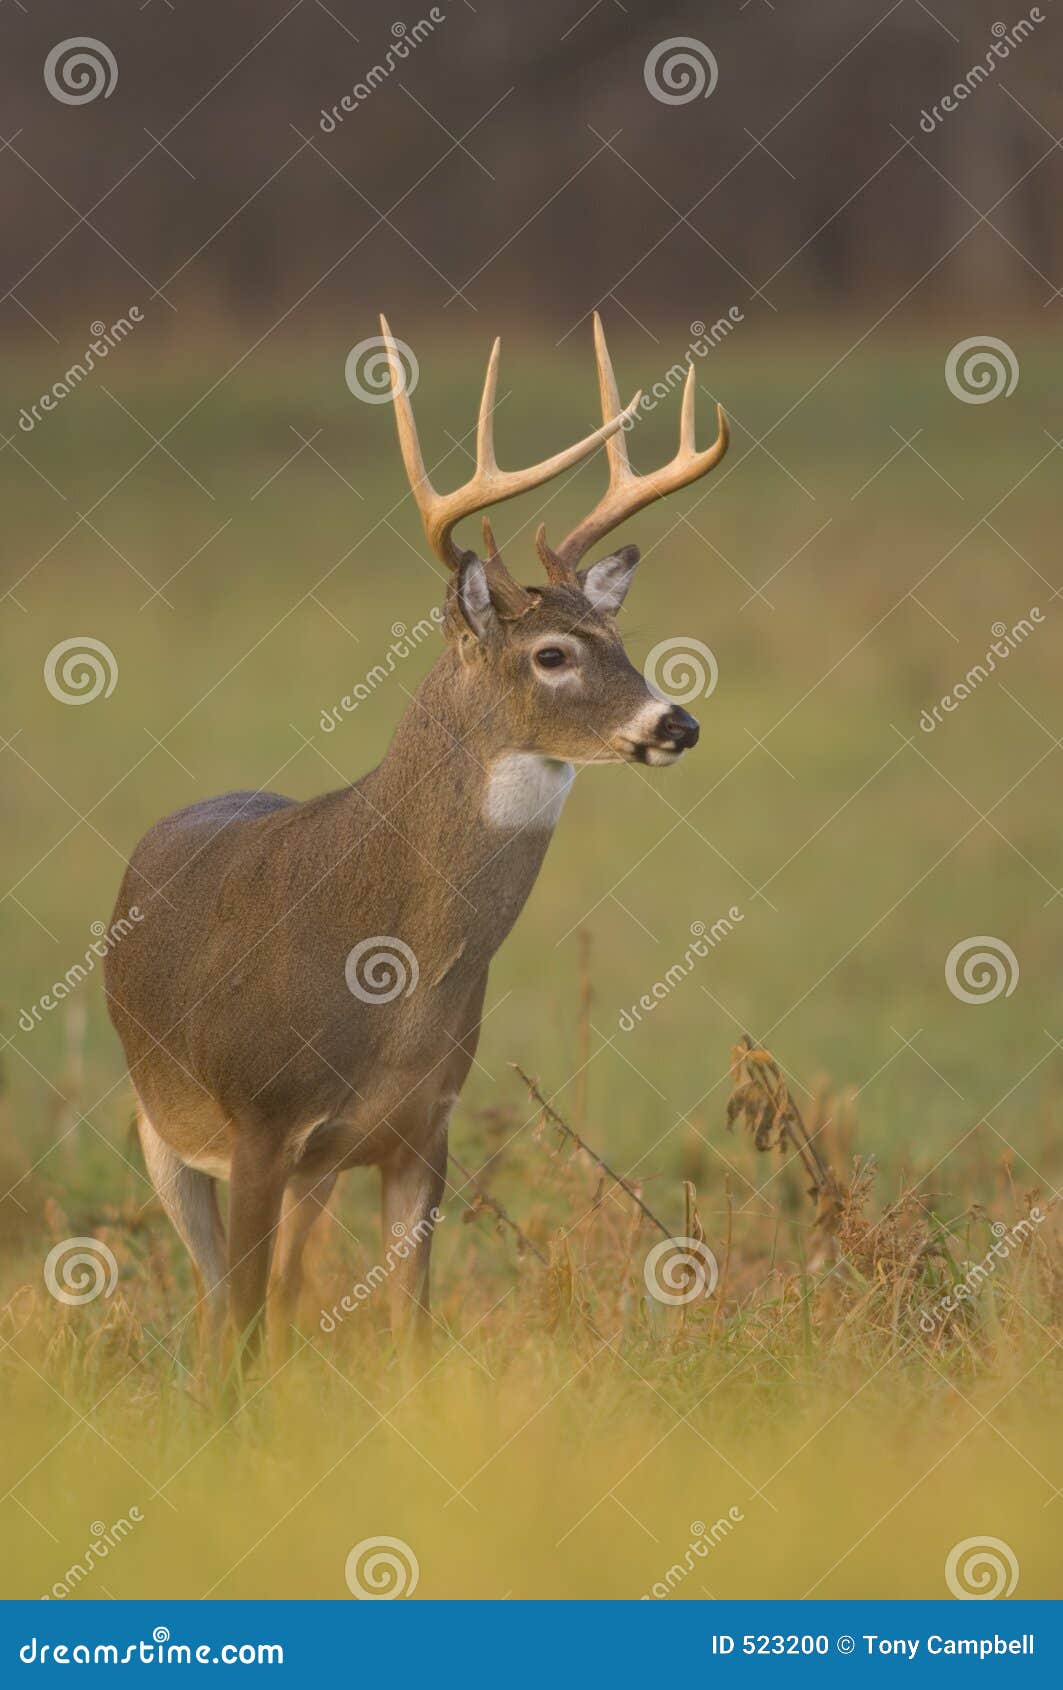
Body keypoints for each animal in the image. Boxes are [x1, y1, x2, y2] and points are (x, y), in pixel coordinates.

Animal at [103, 314, 729, 1369]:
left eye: (621, 639)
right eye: (551, 654)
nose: (675, 723)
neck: (390, 980)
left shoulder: (417, 1133)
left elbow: (409, 1328)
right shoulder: (259, 1122)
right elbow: (243, 1329)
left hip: (314, 1167)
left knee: (279, 1298)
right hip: (163, 1125)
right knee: (218, 1310)